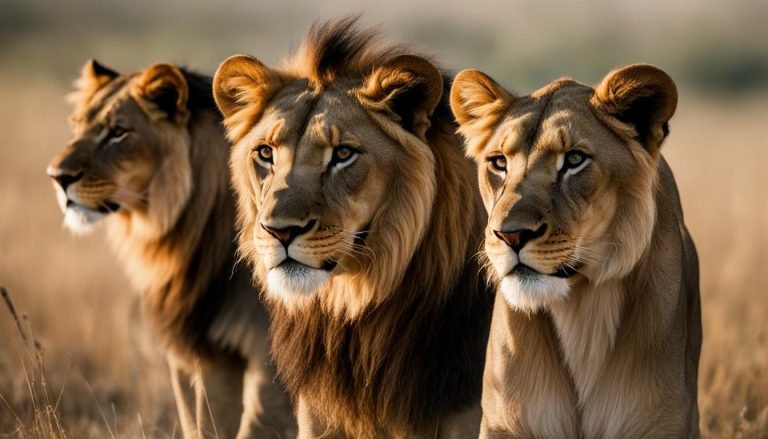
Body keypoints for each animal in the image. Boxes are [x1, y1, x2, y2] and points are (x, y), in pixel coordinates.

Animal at [46, 60, 295, 438]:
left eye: (118, 132)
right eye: (77, 126)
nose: (57, 177)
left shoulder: (269, 359)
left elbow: (255, 428)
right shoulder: (201, 353)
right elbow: (202, 426)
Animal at [449, 64, 702, 437]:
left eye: (574, 160)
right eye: (498, 162)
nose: (511, 235)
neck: (581, 310)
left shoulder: (662, 422)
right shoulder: (503, 423)